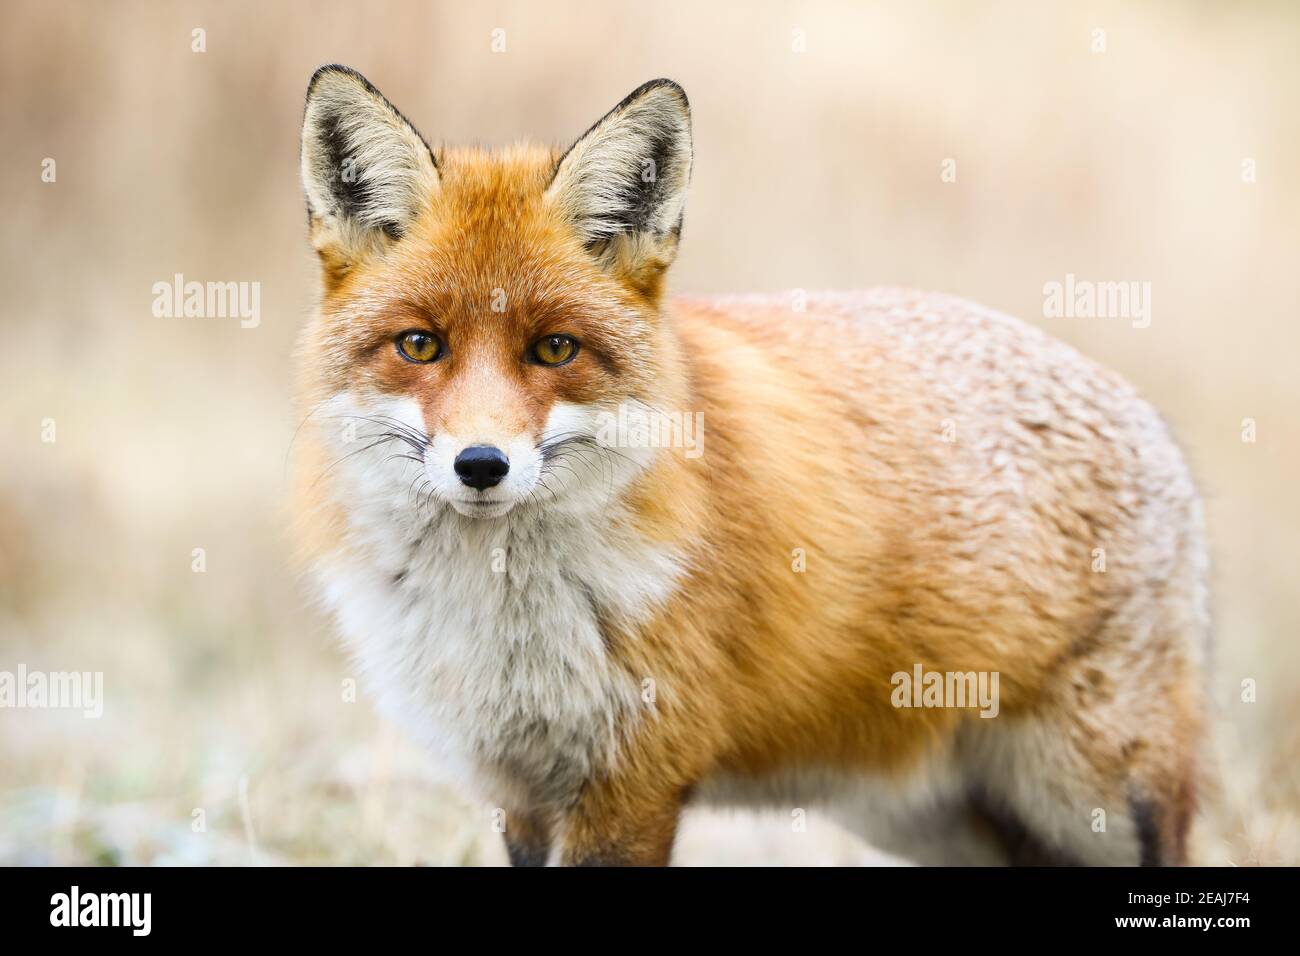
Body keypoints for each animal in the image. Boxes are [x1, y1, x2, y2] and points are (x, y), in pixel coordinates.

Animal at [293, 65, 1211, 866]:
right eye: (420, 345)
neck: (503, 620)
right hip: (935, 820)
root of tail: (1156, 427)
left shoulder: (634, 783)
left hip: (1089, 794)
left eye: (555, 349)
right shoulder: (519, 790)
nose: (481, 464)